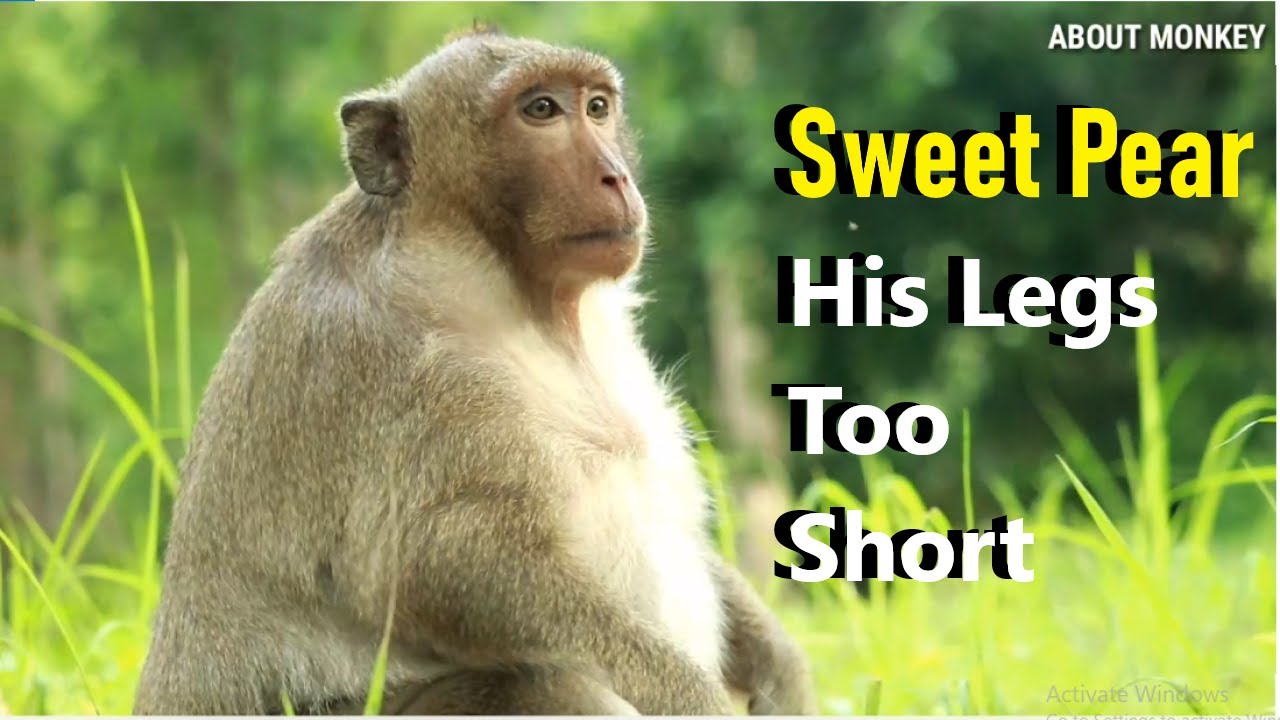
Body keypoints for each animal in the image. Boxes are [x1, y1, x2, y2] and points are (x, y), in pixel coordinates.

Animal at [133, 27, 817, 717]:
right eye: (541, 110)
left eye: (597, 107)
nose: (615, 175)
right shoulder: (421, 376)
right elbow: (436, 562)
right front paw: (692, 697)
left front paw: (778, 661)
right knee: (544, 680)